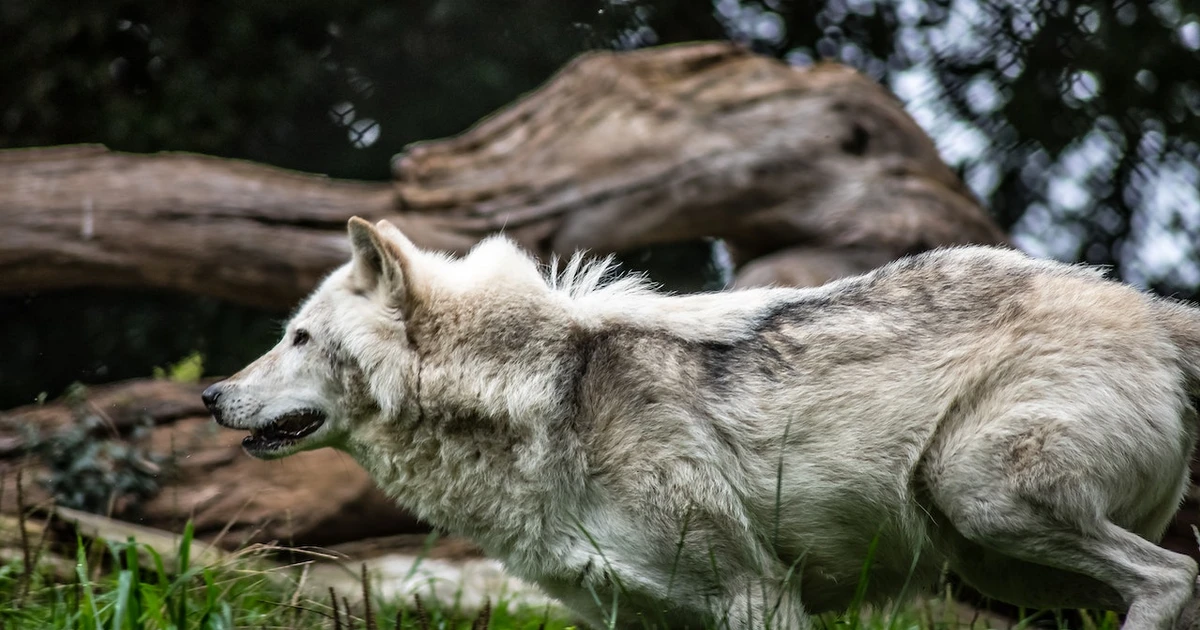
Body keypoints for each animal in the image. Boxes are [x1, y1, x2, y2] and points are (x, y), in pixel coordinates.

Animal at [203, 217, 1200, 630]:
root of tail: (1152, 307)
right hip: (1006, 567)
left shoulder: (761, 598)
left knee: (1172, 576)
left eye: (297, 337)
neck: (535, 394)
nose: (210, 394)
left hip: (982, 501)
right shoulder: (630, 620)